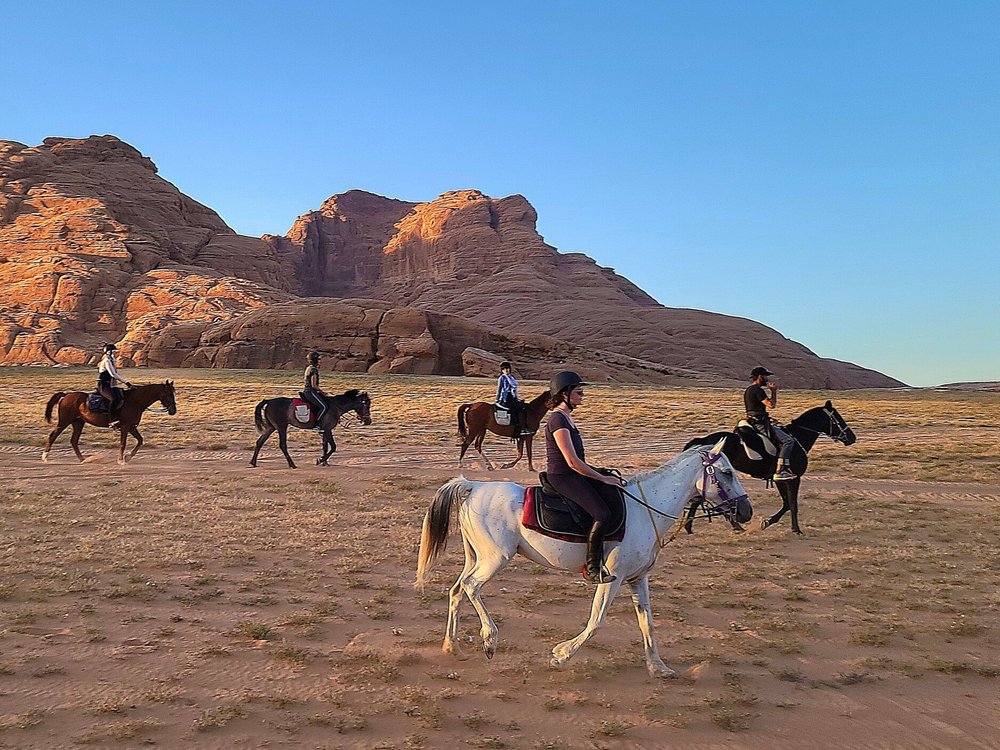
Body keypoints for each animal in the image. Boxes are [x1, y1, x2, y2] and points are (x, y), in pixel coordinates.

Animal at [43, 382, 178, 465]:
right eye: (169, 394)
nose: (173, 411)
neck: (135, 401)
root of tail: (66, 395)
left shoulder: (131, 427)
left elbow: (140, 441)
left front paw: (128, 457)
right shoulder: (125, 427)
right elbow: (123, 443)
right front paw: (121, 460)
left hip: (78, 423)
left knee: (74, 441)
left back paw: (83, 459)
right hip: (64, 422)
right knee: (53, 436)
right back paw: (45, 457)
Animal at [415, 441, 749, 677]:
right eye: (727, 473)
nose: (747, 511)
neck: (647, 509)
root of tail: (473, 486)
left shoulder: (637, 578)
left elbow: (648, 623)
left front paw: (658, 667)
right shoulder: (612, 577)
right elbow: (596, 620)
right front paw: (561, 654)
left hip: (477, 557)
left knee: (457, 591)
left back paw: (452, 646)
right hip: (495, 559)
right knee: (471, 588)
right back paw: (489, 639)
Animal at [684, 400, 857, 534]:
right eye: (838, 418)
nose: (852, 437)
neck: (797, 438)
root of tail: (703, 440)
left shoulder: (780, 479)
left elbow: (786, 504)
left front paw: (767, 522)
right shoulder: (794, 478)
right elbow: (792, 505)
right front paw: (795, 529)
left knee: (699, 499)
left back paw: (691, 527)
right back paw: (734, 526)